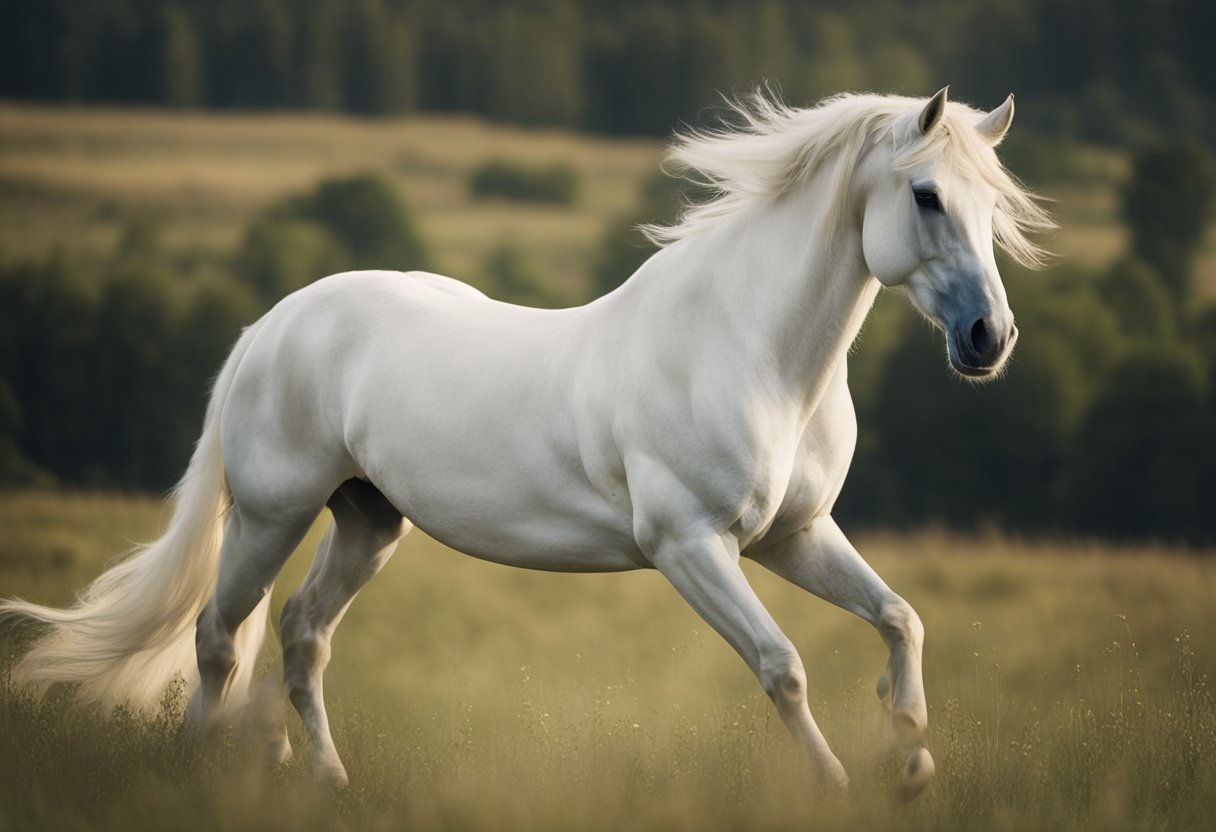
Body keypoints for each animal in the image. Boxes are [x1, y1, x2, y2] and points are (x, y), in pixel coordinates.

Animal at [0, 87, 1052, 800]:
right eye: (926, 195)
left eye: (994, 204)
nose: (988, 341)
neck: (750, 352)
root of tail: (271, 326)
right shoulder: (691, 547)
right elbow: (782, 665)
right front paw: (839, 785)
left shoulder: (793, 536)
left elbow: (900, 618)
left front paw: (910, 757)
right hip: (271, 512)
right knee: (220, 637)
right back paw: (199, 775)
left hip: (367, 521)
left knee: (300, 634)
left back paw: (330, 785)